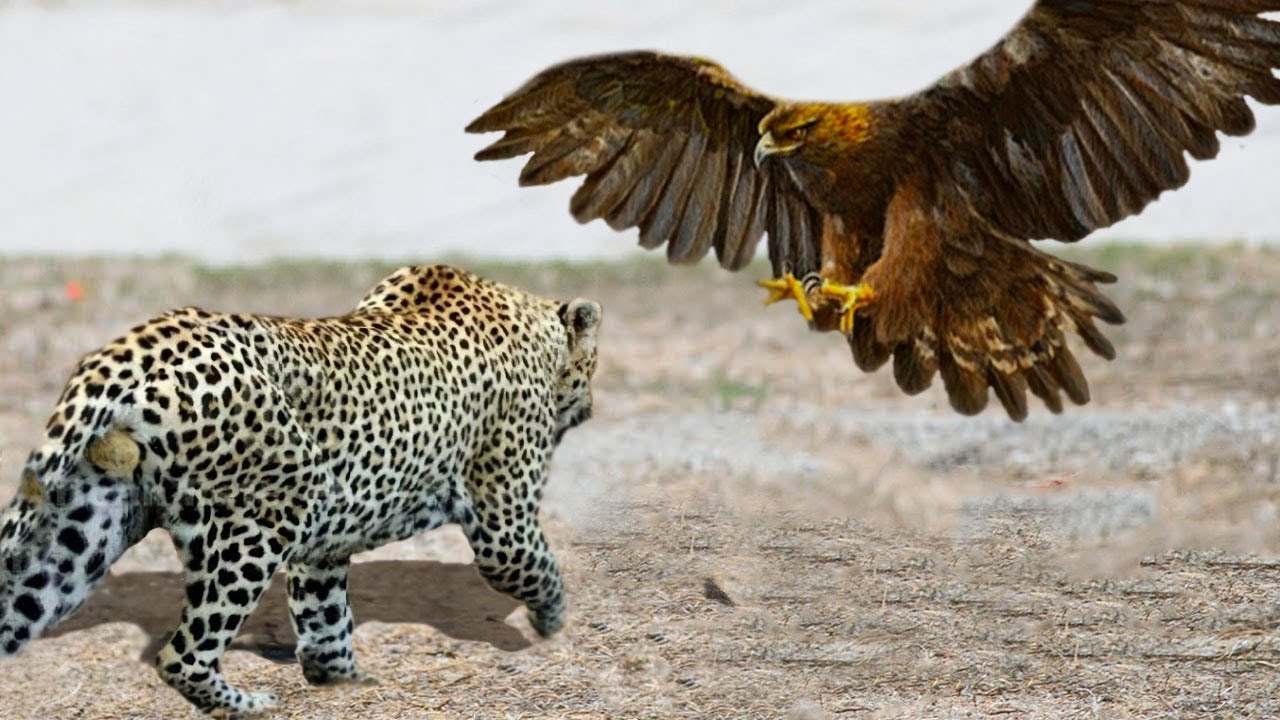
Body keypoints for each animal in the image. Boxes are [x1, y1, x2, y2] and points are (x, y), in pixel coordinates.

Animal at [0, 264, 602, 717]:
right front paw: (552, 624)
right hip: (263, 521)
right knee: (183, 654)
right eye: (593, 367)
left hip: (78, 533)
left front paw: (345, 683)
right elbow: (537, 568)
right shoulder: (504, 521)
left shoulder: (322, 550)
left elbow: (325, 621)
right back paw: (250, 705)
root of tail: (134, 350)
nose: (592, 407)